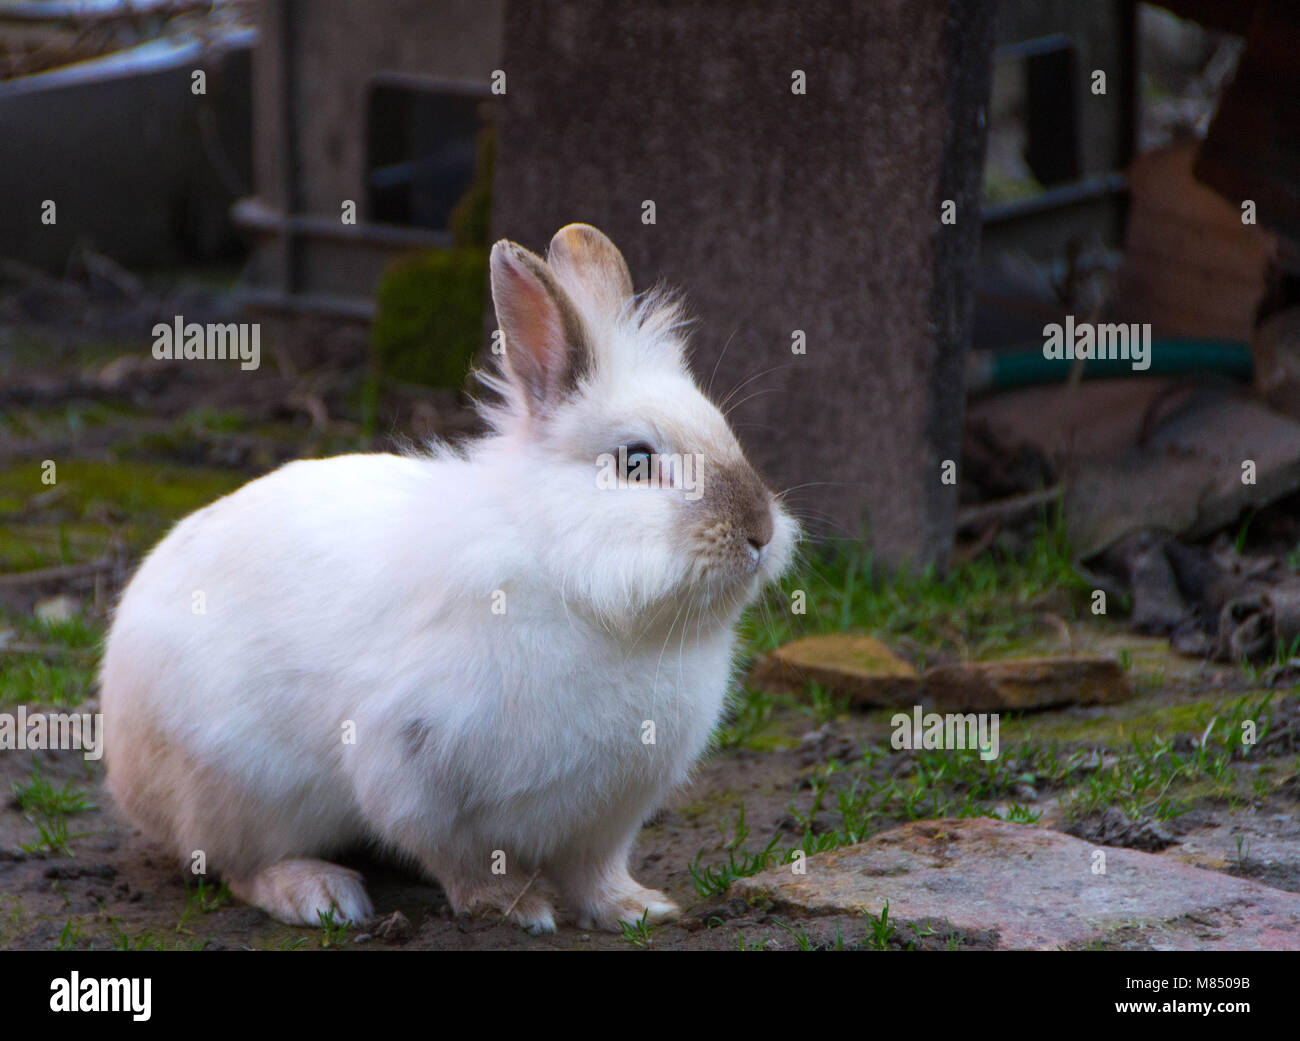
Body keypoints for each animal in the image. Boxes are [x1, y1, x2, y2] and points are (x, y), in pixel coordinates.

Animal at [100, 223, 797, 933]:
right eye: (635, 461)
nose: (759, 533)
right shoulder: (415, 769)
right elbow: (460, 858)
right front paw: (517, 908)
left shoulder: (608, 813)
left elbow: (594, 870)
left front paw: (636, 908)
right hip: (237, 792)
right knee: (238, 865)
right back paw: (320, 894)